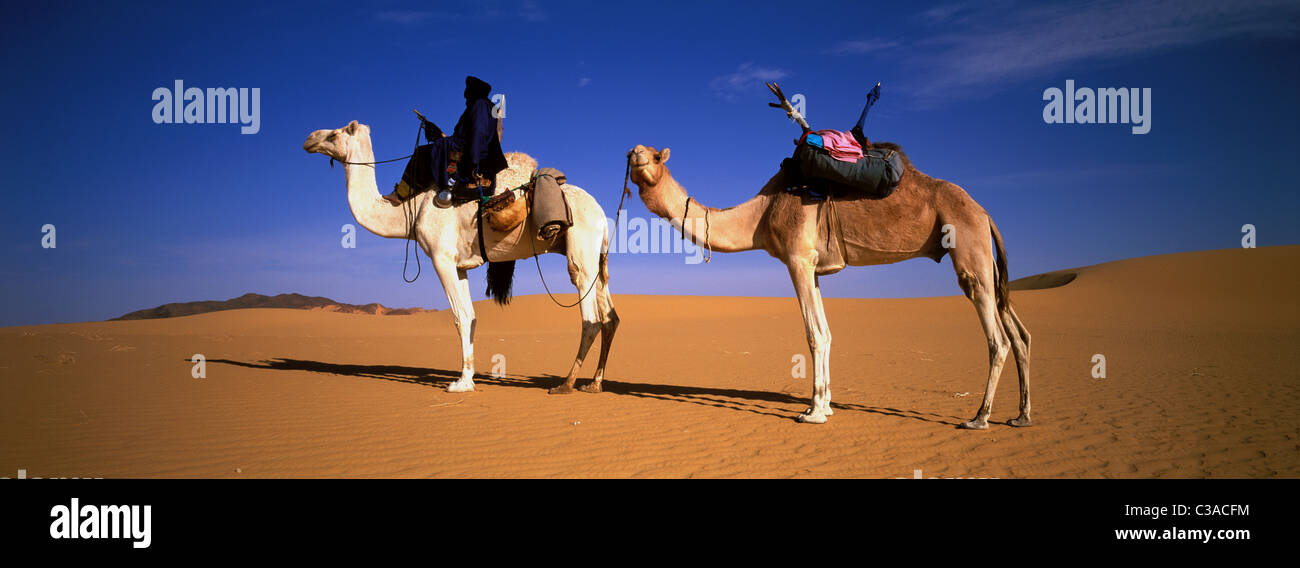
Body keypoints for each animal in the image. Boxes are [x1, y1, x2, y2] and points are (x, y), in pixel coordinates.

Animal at [303, 120, 618, 394]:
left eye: (334, 134)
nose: (309, 139)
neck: (411, 213)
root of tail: (602, 215)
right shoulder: (460, 265)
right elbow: (473, 316)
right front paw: (468, 377)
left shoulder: (440, 258)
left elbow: (460, 316)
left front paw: (461, 384)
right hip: (598, 258)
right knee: (610, 317)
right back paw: (594, 384)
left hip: (581, 252)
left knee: (590, 318)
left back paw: (566, 384)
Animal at [627, 143, 1031, 428]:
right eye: (634, 153)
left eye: (657, 155)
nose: (635, 154)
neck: (763, 212)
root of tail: (984, 212)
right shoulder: (816, 269)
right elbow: (828, 331)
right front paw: (826, 403)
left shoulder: (798, 260)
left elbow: (814, 334)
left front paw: (813, 410)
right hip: (987, 259)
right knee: (1019, 331)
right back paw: (1021, 416)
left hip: (967, 246)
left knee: (997, 335)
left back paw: (979, 417)